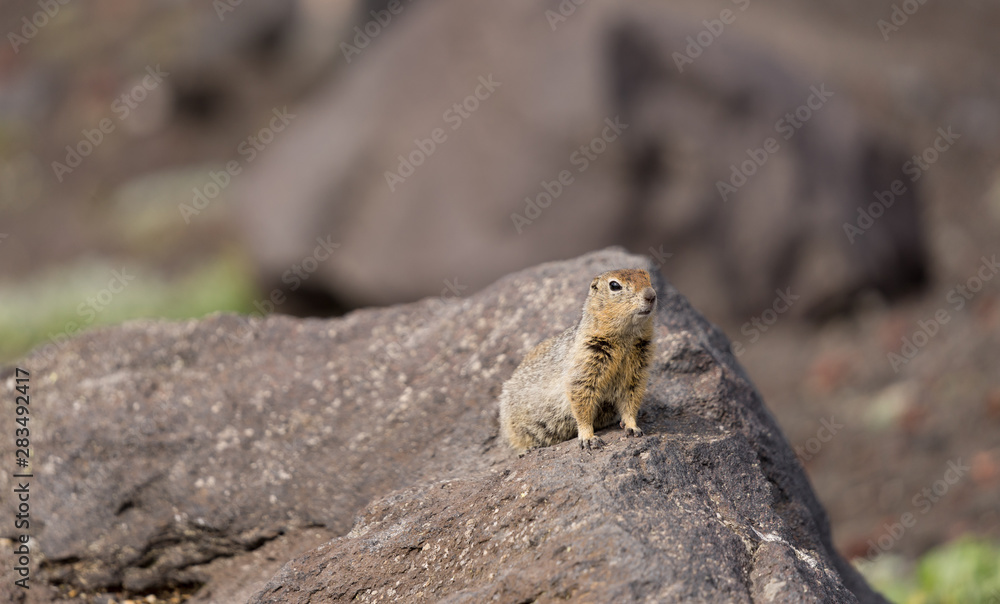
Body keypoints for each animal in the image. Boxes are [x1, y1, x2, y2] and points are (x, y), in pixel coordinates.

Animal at [499, 268, 657, 452]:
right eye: (614, 285)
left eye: (647, 277)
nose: (651, 295)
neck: (627, 338)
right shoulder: (586, 360)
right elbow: (582, 399)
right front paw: (588, 438)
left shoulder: (638, 368)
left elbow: (631, 398)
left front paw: (633, 427)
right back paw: (525, 450)